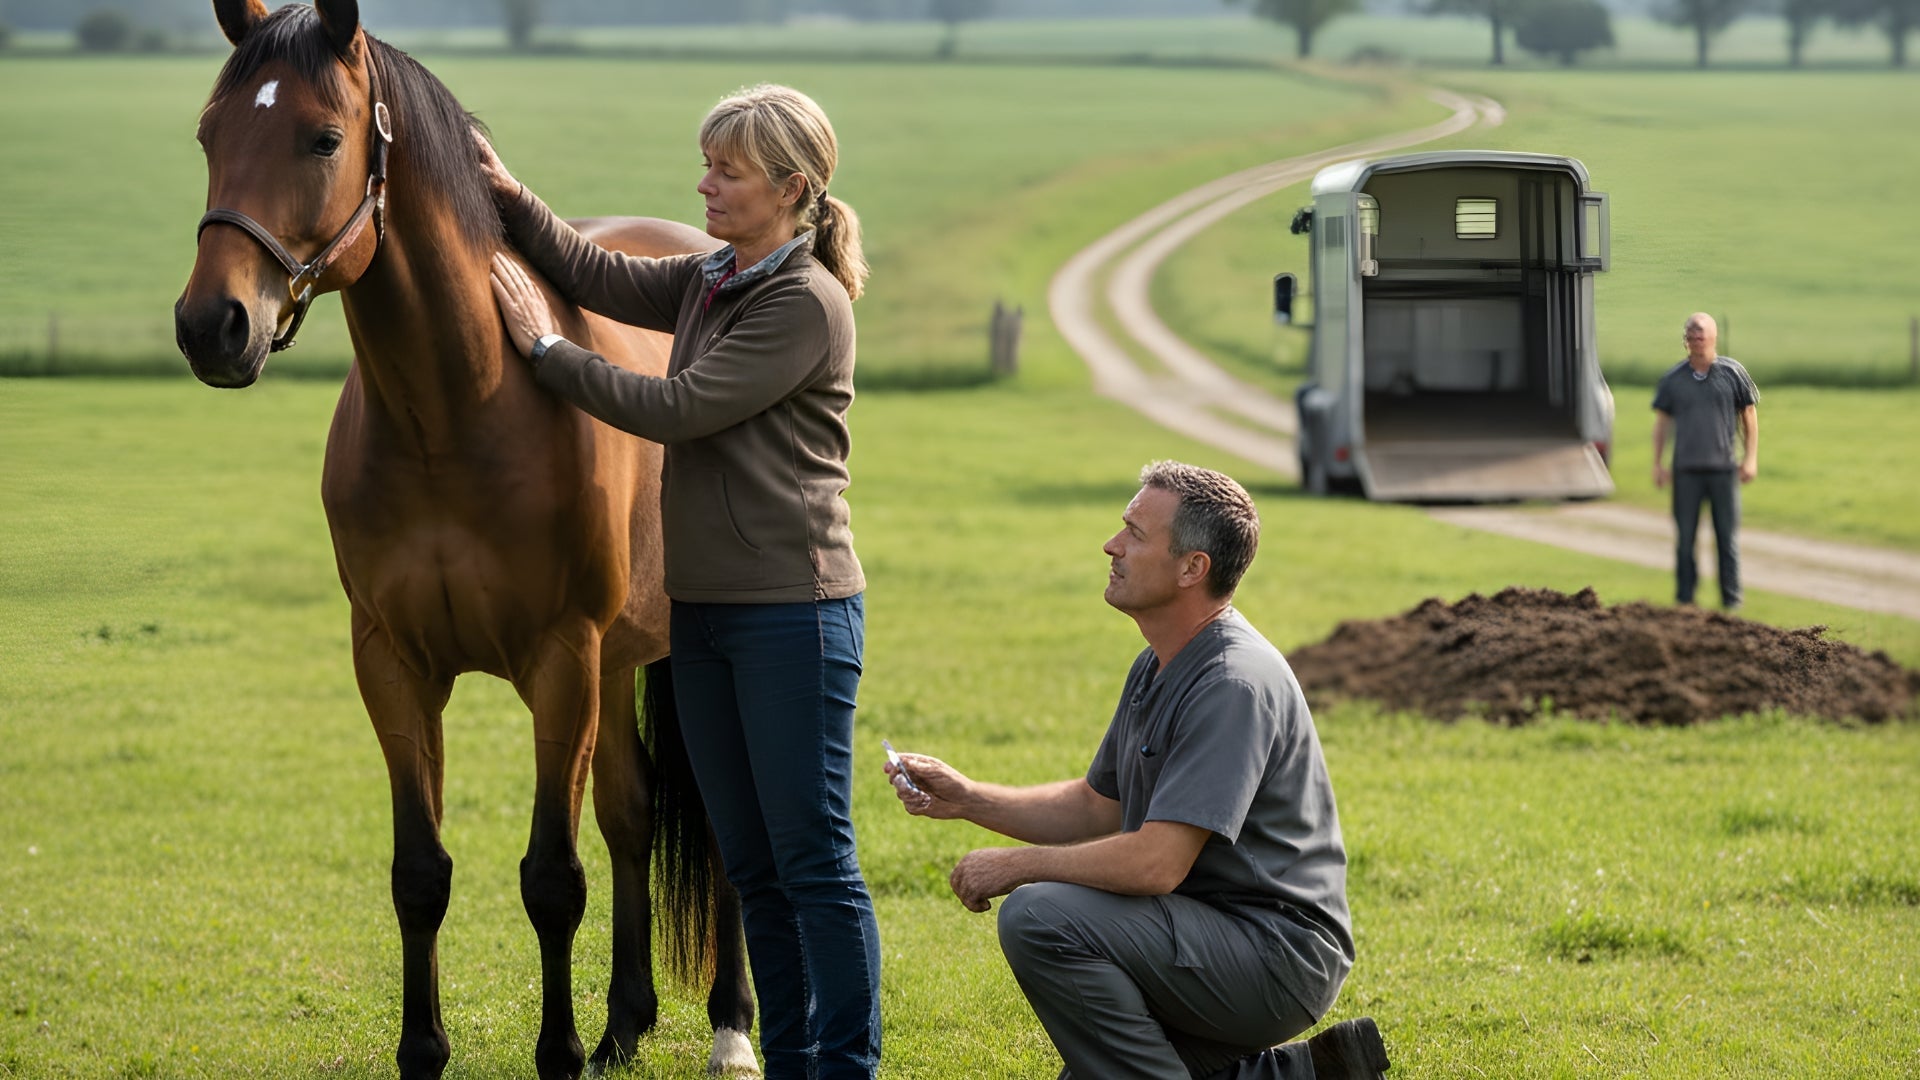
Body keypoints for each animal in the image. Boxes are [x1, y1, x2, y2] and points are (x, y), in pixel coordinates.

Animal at [172, 2, 757, 1077]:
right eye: (209, 136)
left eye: (323, 139)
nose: (212, 325)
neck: (455, 411)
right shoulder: (394, 665)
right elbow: (421, 873)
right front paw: (425, 1049)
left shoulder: (561, 664)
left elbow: (551, 878)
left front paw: (556, 1053)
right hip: (623, 660)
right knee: (631, 815)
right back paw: (624, 1025)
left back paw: (731, 1026)